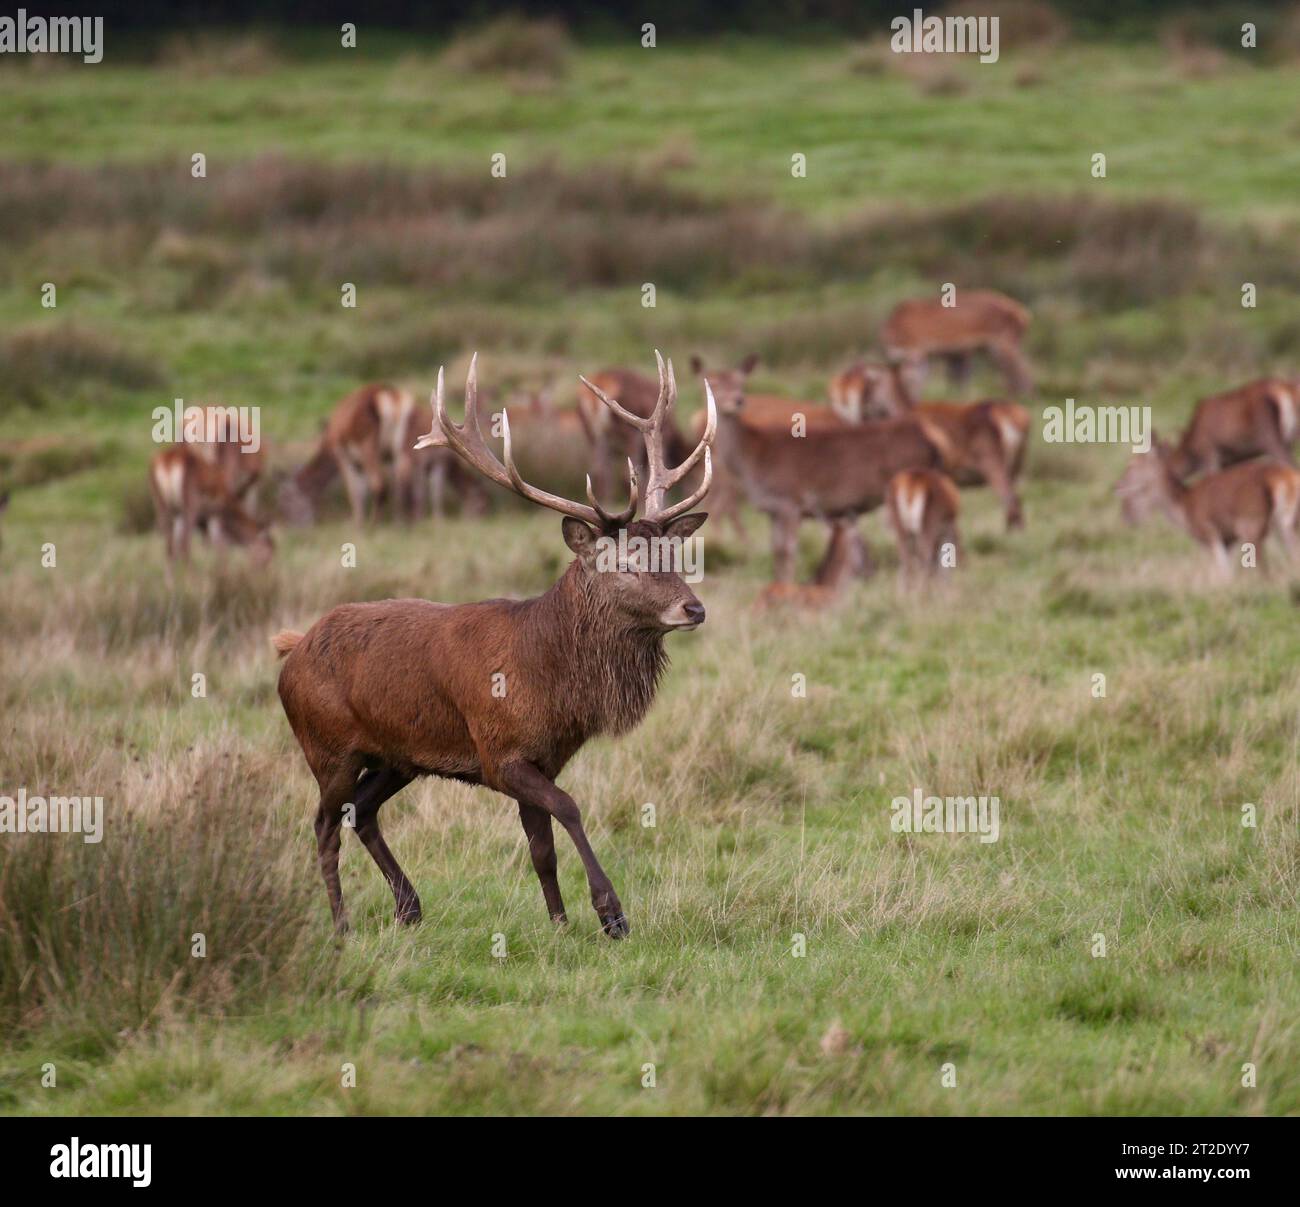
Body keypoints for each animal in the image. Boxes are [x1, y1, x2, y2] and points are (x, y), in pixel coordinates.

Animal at [279, 384, 414, 526]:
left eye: (285, 500)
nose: (286, 522)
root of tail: (390, 396)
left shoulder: (341, 453)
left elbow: (354, 490)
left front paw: (357, 523)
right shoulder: (364, 462)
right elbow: (363, 488)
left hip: (366, 443)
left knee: (379, 483)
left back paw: (374, 523)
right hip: (399, 446)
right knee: (402, 480)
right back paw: (399, 521)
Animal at [1114, 438, 1300, 575]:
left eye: (1132, 465)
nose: (1117, 485)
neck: (1184, 508)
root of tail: (1284, 478)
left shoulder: (1209, 532)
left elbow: (1222, 574)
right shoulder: (1228, 540)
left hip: (1250, 523)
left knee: (1265, 570)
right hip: (1285, 523)